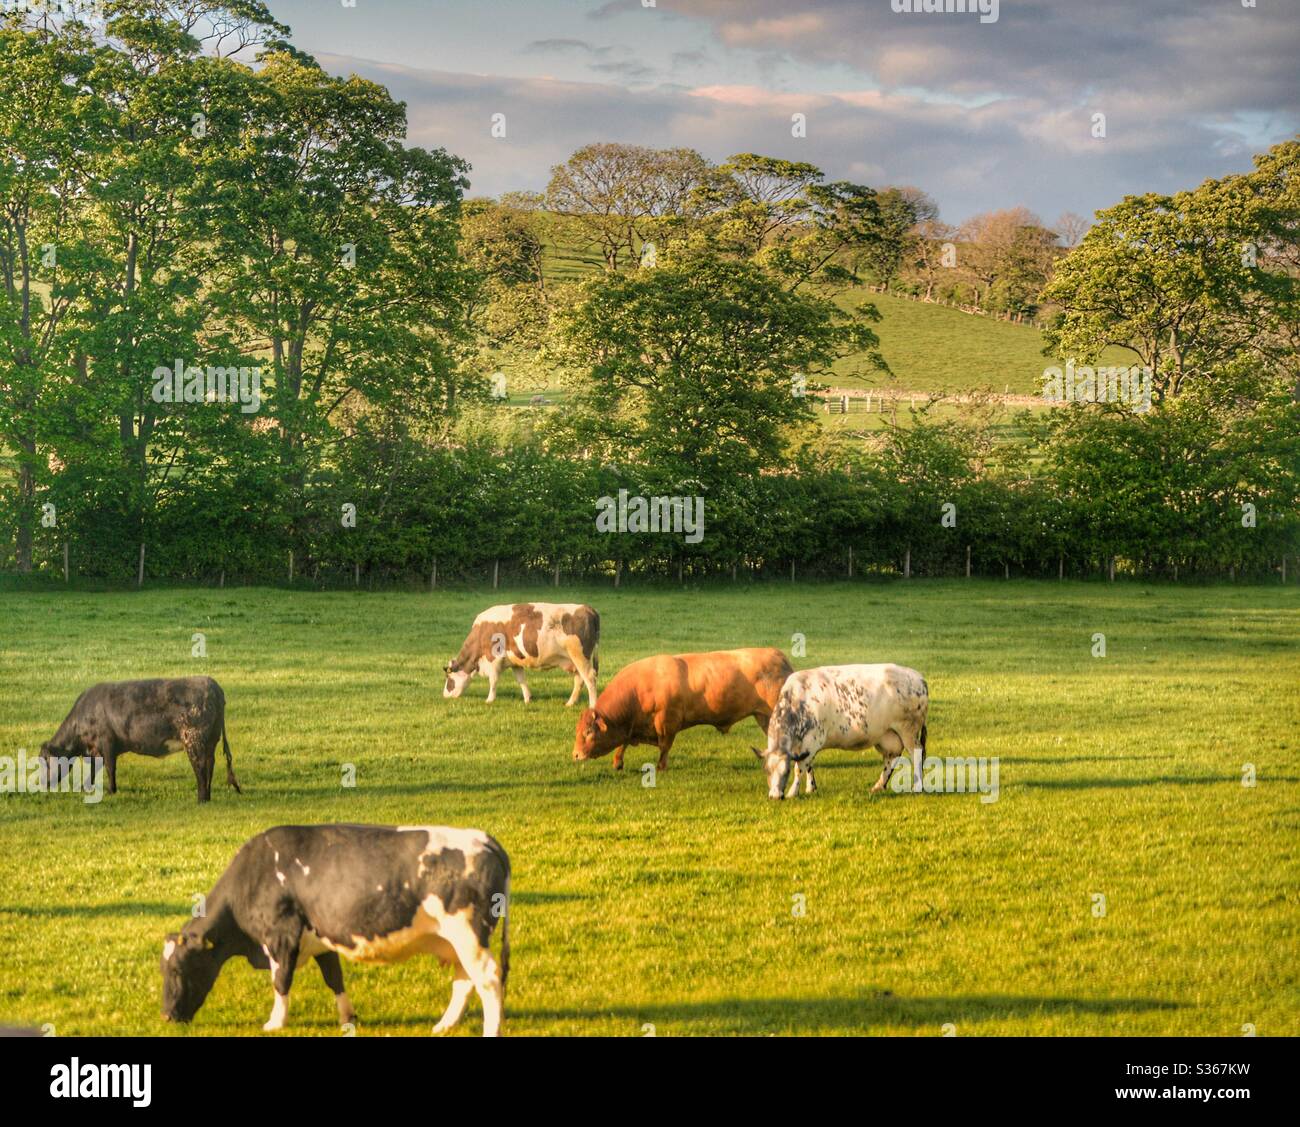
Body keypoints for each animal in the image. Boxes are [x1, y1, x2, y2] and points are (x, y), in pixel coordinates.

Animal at [39, 676, 240, 803]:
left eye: (47, 760)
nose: (43, 783)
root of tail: (212, 684)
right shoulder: (95, 750)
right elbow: (94, 769)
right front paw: (85, 787)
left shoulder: (107, 742)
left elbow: (110, 768)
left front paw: (111, 790)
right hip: (211, 740)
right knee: (210, 764)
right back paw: (207, 796)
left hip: (194, 739)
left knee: (200, 766)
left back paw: (201, 798)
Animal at [160, 824, 510, 1037]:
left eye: (178, 970)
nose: (165, 1016)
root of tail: (484, 839)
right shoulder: (322, 939)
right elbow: (334, 978)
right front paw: (348, 1017)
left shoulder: (281, 936)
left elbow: (281, 981)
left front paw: (275, 1022)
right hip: (457, 941)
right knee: (464, 981)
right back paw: (445, 1024)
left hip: (469, 936)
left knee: (487, 979)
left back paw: (489, 1029)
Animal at [443, 602, 599, 707]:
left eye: (449, 679)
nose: (444, 695)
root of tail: (588, 608)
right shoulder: (515, 662)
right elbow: (521, 680)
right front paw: (527, 698)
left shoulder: (493, 659)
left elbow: (493, 681)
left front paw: (489, 699)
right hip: (574, 660)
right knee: (579, 679)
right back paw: (570, 703)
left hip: (580, 656)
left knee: (589, 678)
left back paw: (592, 705)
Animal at [573, 647, 793, 771]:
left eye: (588, 731)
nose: (575, 755)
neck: (638, 689)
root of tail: (778, 656)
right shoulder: (632, 727)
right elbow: (623, 744)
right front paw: (618, 762)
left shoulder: (667, 722)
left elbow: (664, 747)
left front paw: (661, 767)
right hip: (763, 717)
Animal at [753, 663, 928, 800]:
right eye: (766, 770)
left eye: (786, 771)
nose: (775, 796)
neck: (799, 701)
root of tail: (918, 677)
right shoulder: (803, 748)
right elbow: (809, 766)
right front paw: (811, 788)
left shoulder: (811, 741)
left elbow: (801, 767)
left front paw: (792, 792)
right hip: (888, 735)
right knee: (891, 758)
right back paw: (878, 786)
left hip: (908, 730)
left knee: (916, 754)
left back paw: (917, 787)